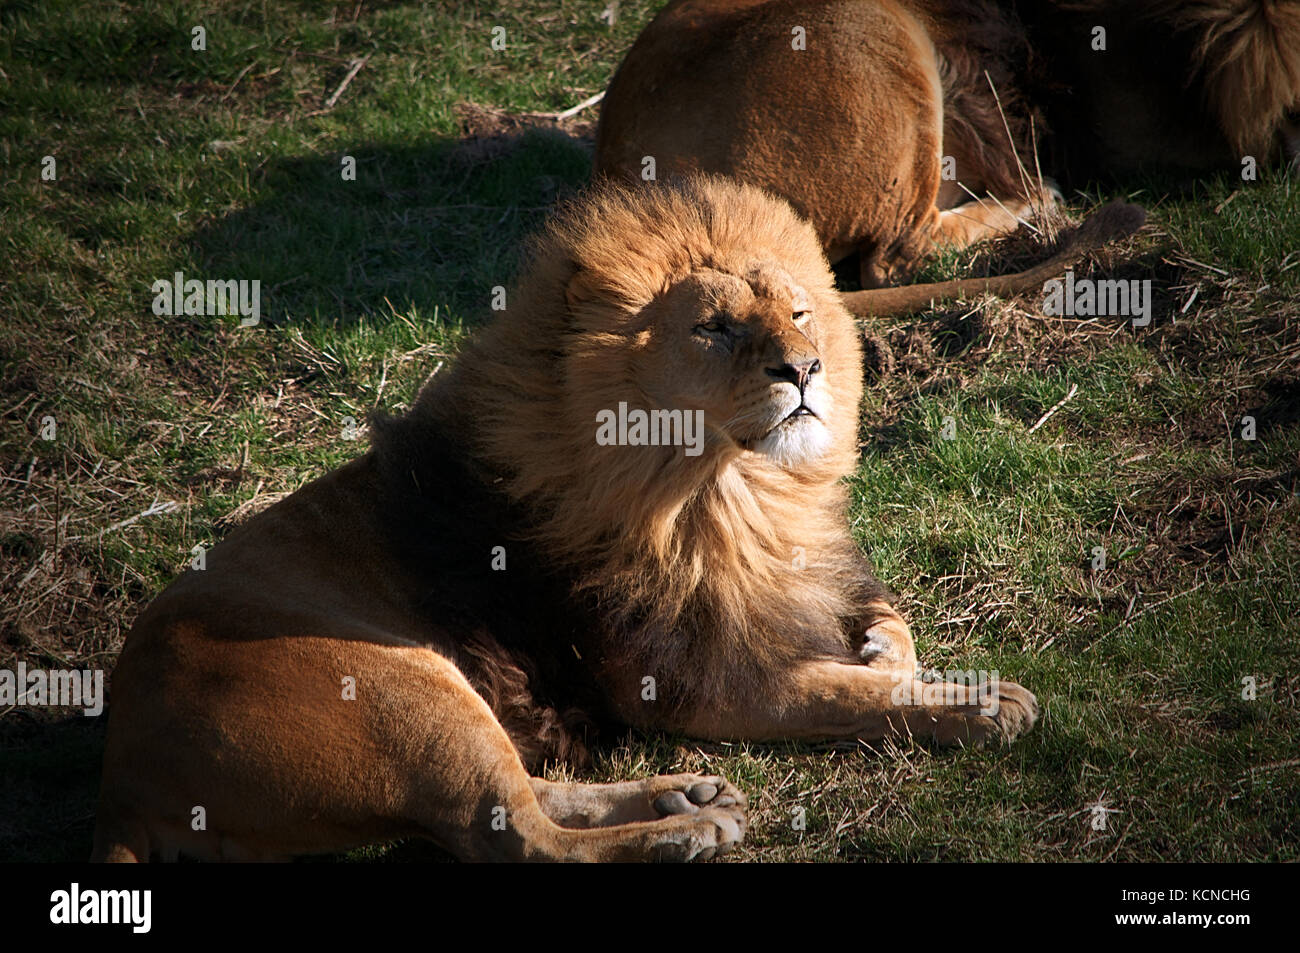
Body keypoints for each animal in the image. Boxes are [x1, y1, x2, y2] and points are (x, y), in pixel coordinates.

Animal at [92, 176, 1037, 864]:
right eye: (714, 326)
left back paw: (682, 793)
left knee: (516, 799)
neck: (732, 492)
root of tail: (122, 778)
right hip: (400, 689)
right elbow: (842, 692)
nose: (804, 368)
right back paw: (683, 830)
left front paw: (890, 650)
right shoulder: (699, 682)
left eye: (799, 311)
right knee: (515, 836)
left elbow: (882, 630)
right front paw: (978, 699)